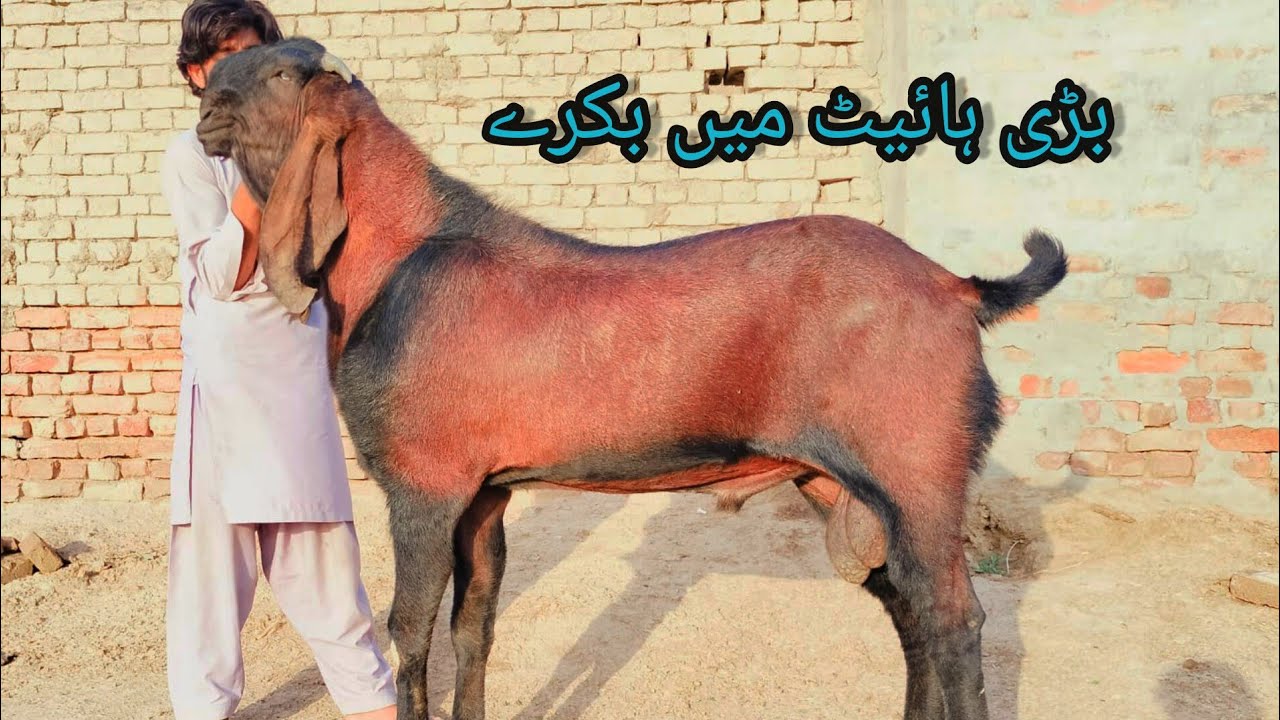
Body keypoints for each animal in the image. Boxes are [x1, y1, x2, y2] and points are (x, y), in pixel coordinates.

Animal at [196, 38, 1067, 720]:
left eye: (280, 71)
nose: (207, 100)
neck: (400, 247)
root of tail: (957, 288)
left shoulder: (425, 484)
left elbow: (408, 635)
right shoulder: (484, 492)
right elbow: (473, 625)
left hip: (916, 470)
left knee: (952, 619)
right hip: (839, 480)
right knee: (910, 610)